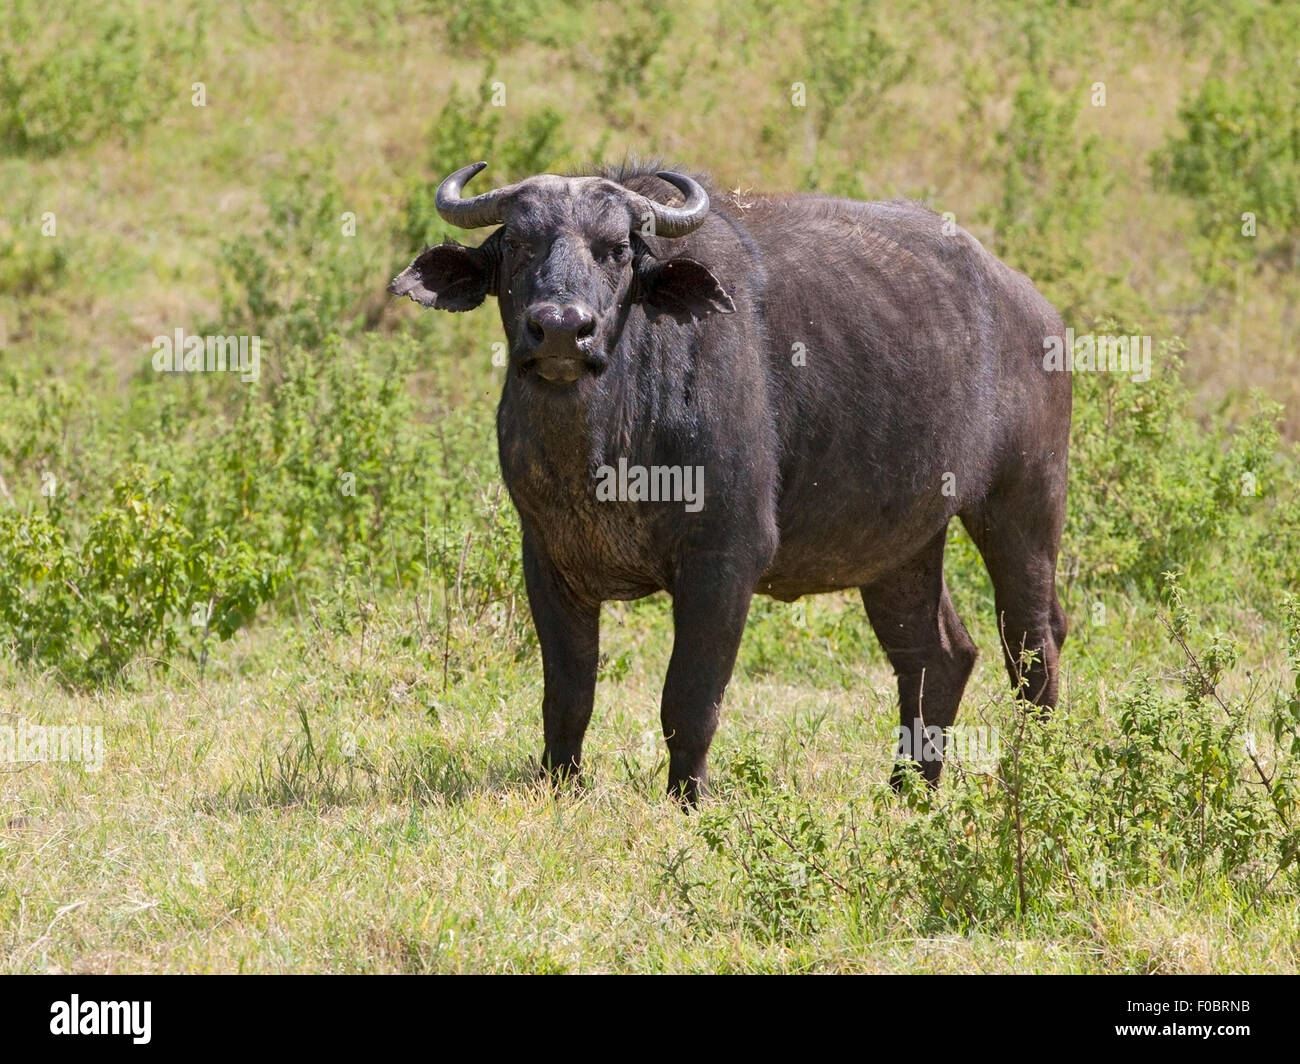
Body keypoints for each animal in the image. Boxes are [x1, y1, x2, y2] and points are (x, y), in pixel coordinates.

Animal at [389, 161, 1071, 805]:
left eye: (617, 249)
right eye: (519, 245)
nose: (560, 328)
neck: (605, 443)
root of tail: (1035, 309)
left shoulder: (724, 561)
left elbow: (689, 700)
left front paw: (687, 799)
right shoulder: (549, 558)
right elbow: (568, 696)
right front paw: (562, 786)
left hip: (1023, 506)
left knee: (1034, 642)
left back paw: (1033, 771)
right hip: (898, 548)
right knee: (939, 655)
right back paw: (909, 790)